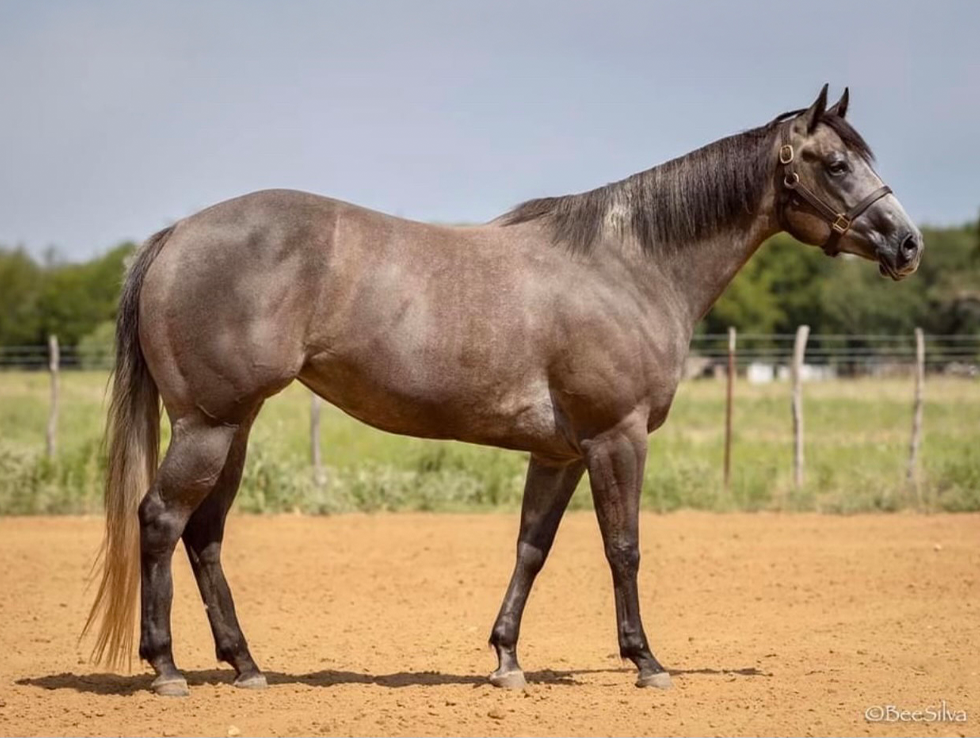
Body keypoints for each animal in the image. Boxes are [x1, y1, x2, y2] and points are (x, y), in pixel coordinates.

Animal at [84, 85, 921, 696]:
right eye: (835, 163)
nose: (907, 243)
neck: (630, 264)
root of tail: (177, 235)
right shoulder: (617, 438)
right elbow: (624, 547)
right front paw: (647, 662)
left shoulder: (560, 454)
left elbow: (531, 548)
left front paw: (506, 660)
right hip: (210, 424)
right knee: (161, 520)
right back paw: (166, 669)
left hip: (234, 425)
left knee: (204, 534)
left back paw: (246, 665)